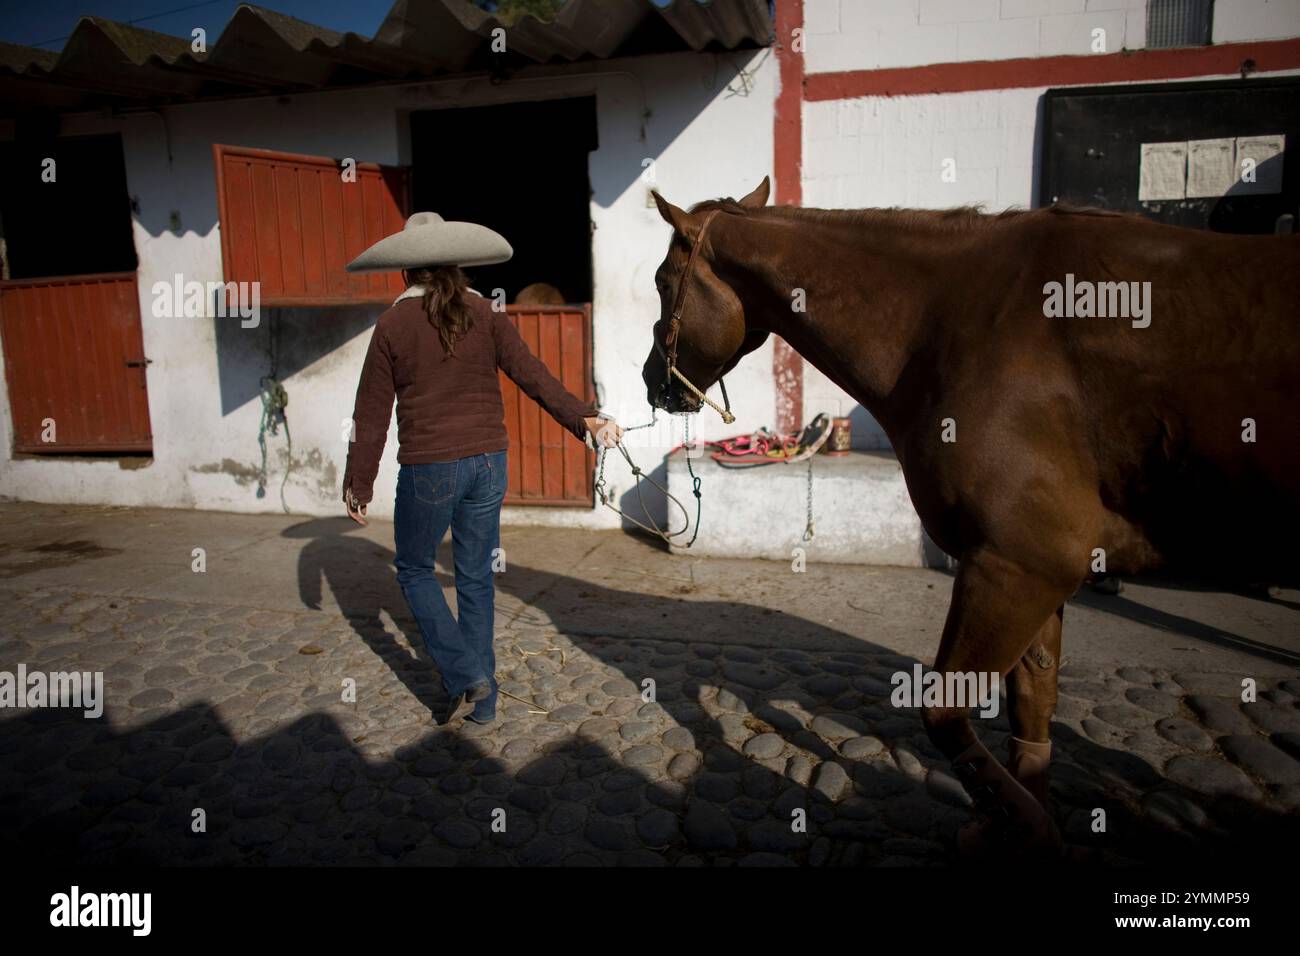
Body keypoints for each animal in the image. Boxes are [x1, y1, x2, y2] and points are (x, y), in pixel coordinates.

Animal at [641, 176, 1300, 853]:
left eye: (663, 281)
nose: (649, 380)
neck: (952, 324)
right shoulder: (1034, 574)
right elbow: (1032, 706)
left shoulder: (1018, 568)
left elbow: (944, 711)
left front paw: (1029, 826)